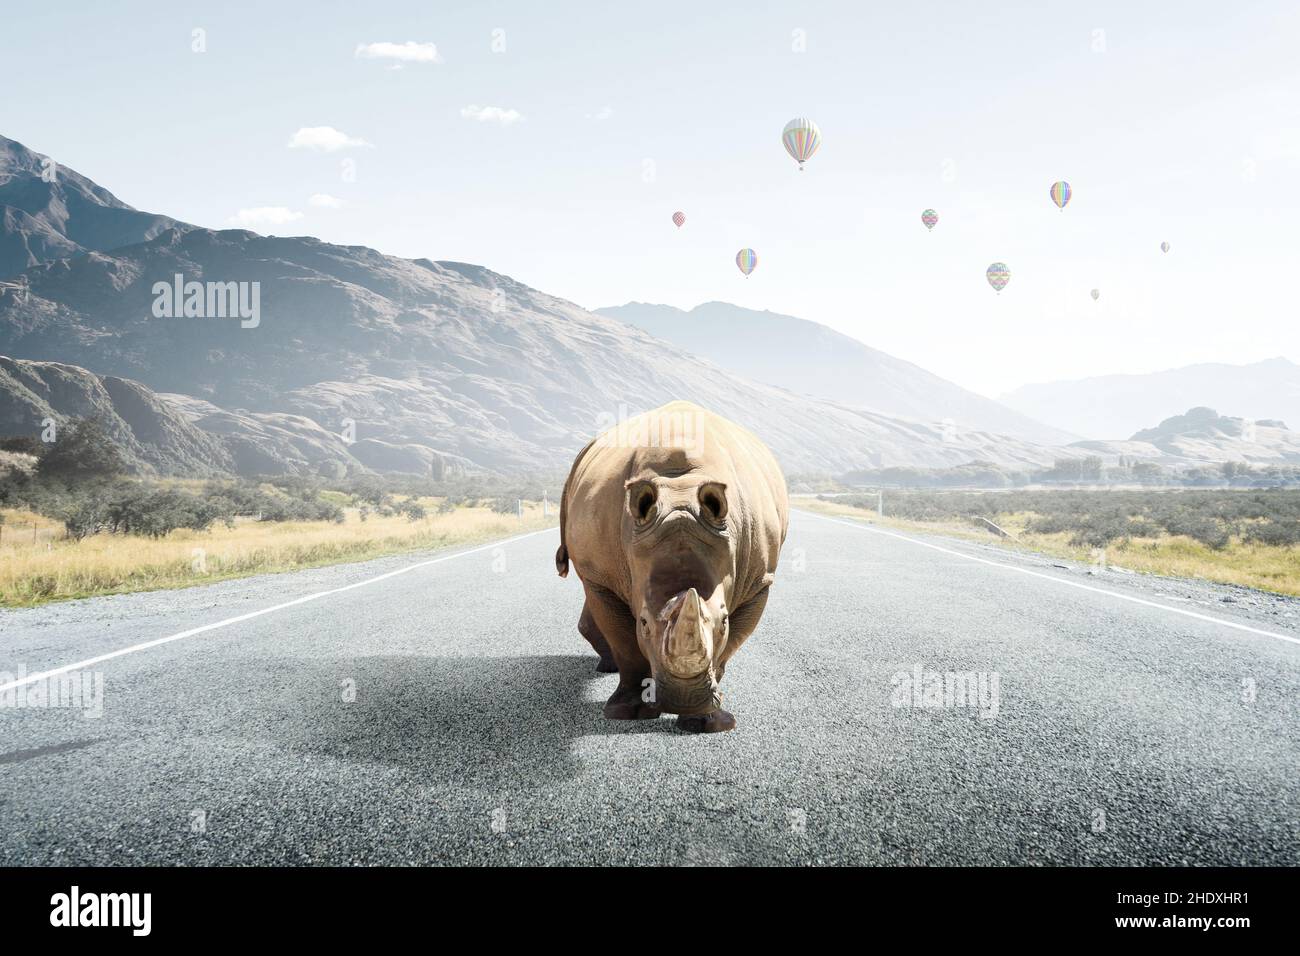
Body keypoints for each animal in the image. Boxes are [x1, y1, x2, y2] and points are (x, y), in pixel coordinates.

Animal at [555, 401, 789, 733]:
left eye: (725, 620)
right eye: (643, 623)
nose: (683, 700)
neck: (680, 491)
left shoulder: (759, 582)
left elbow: (727, 648)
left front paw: (706, 722)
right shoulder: (600, 574)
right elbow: (625, 642)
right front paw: (628, 712)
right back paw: (608, 666)